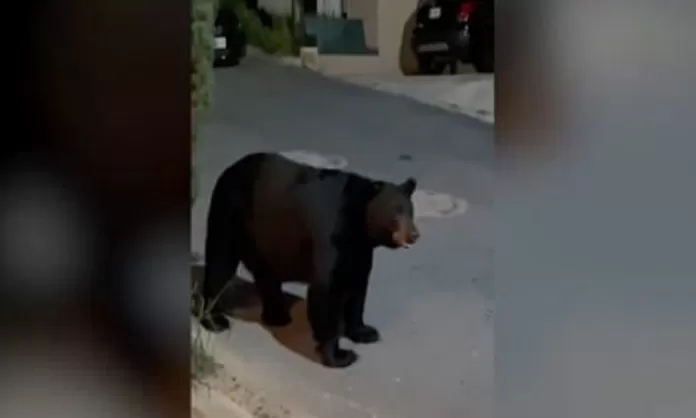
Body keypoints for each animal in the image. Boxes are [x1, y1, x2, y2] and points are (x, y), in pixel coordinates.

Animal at [198, 152, 420, 368]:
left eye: (411, 211)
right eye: (396, 211)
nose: (414, 235)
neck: (359, 224)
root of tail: (229, 169)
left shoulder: (358, 249)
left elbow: (357, 285)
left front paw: (365, 331)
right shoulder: (331, 232)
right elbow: (326, 291)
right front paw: (340, 355)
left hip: (265, 238)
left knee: (266, 274)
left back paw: (277, 316)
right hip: (231, 215)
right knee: (220, 263)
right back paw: (215, 320)